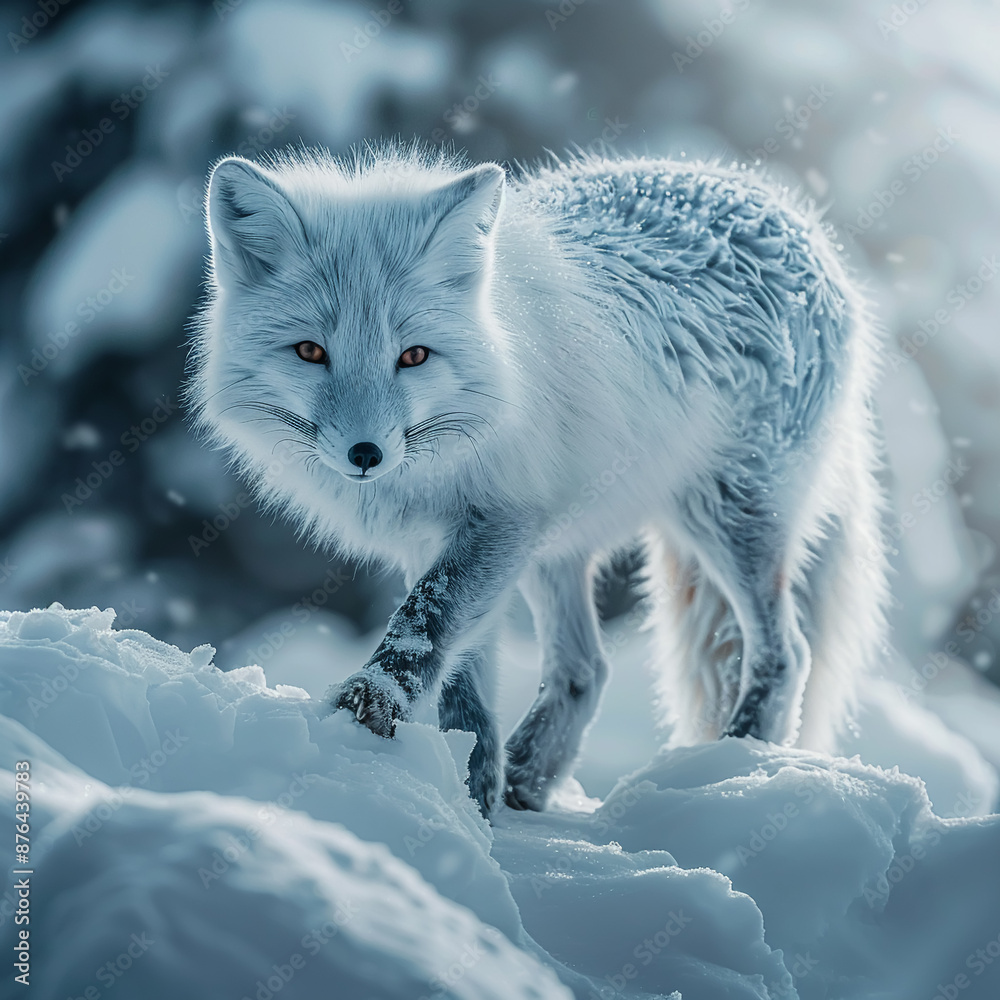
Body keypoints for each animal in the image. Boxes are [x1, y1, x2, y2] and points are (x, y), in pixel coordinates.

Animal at [189, 145, 888, 815]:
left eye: (413, 356)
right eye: (311, 352)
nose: (367, 453)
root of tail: (788, 211)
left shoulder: (498, 522)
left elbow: (424, 623)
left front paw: (370, 709)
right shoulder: (439, 540)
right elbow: (461, 683)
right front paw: (472, 795)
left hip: (727, 516)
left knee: (785, 652)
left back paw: (735, 762)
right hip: (563, 549)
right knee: (587, 670)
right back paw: (528, 780)